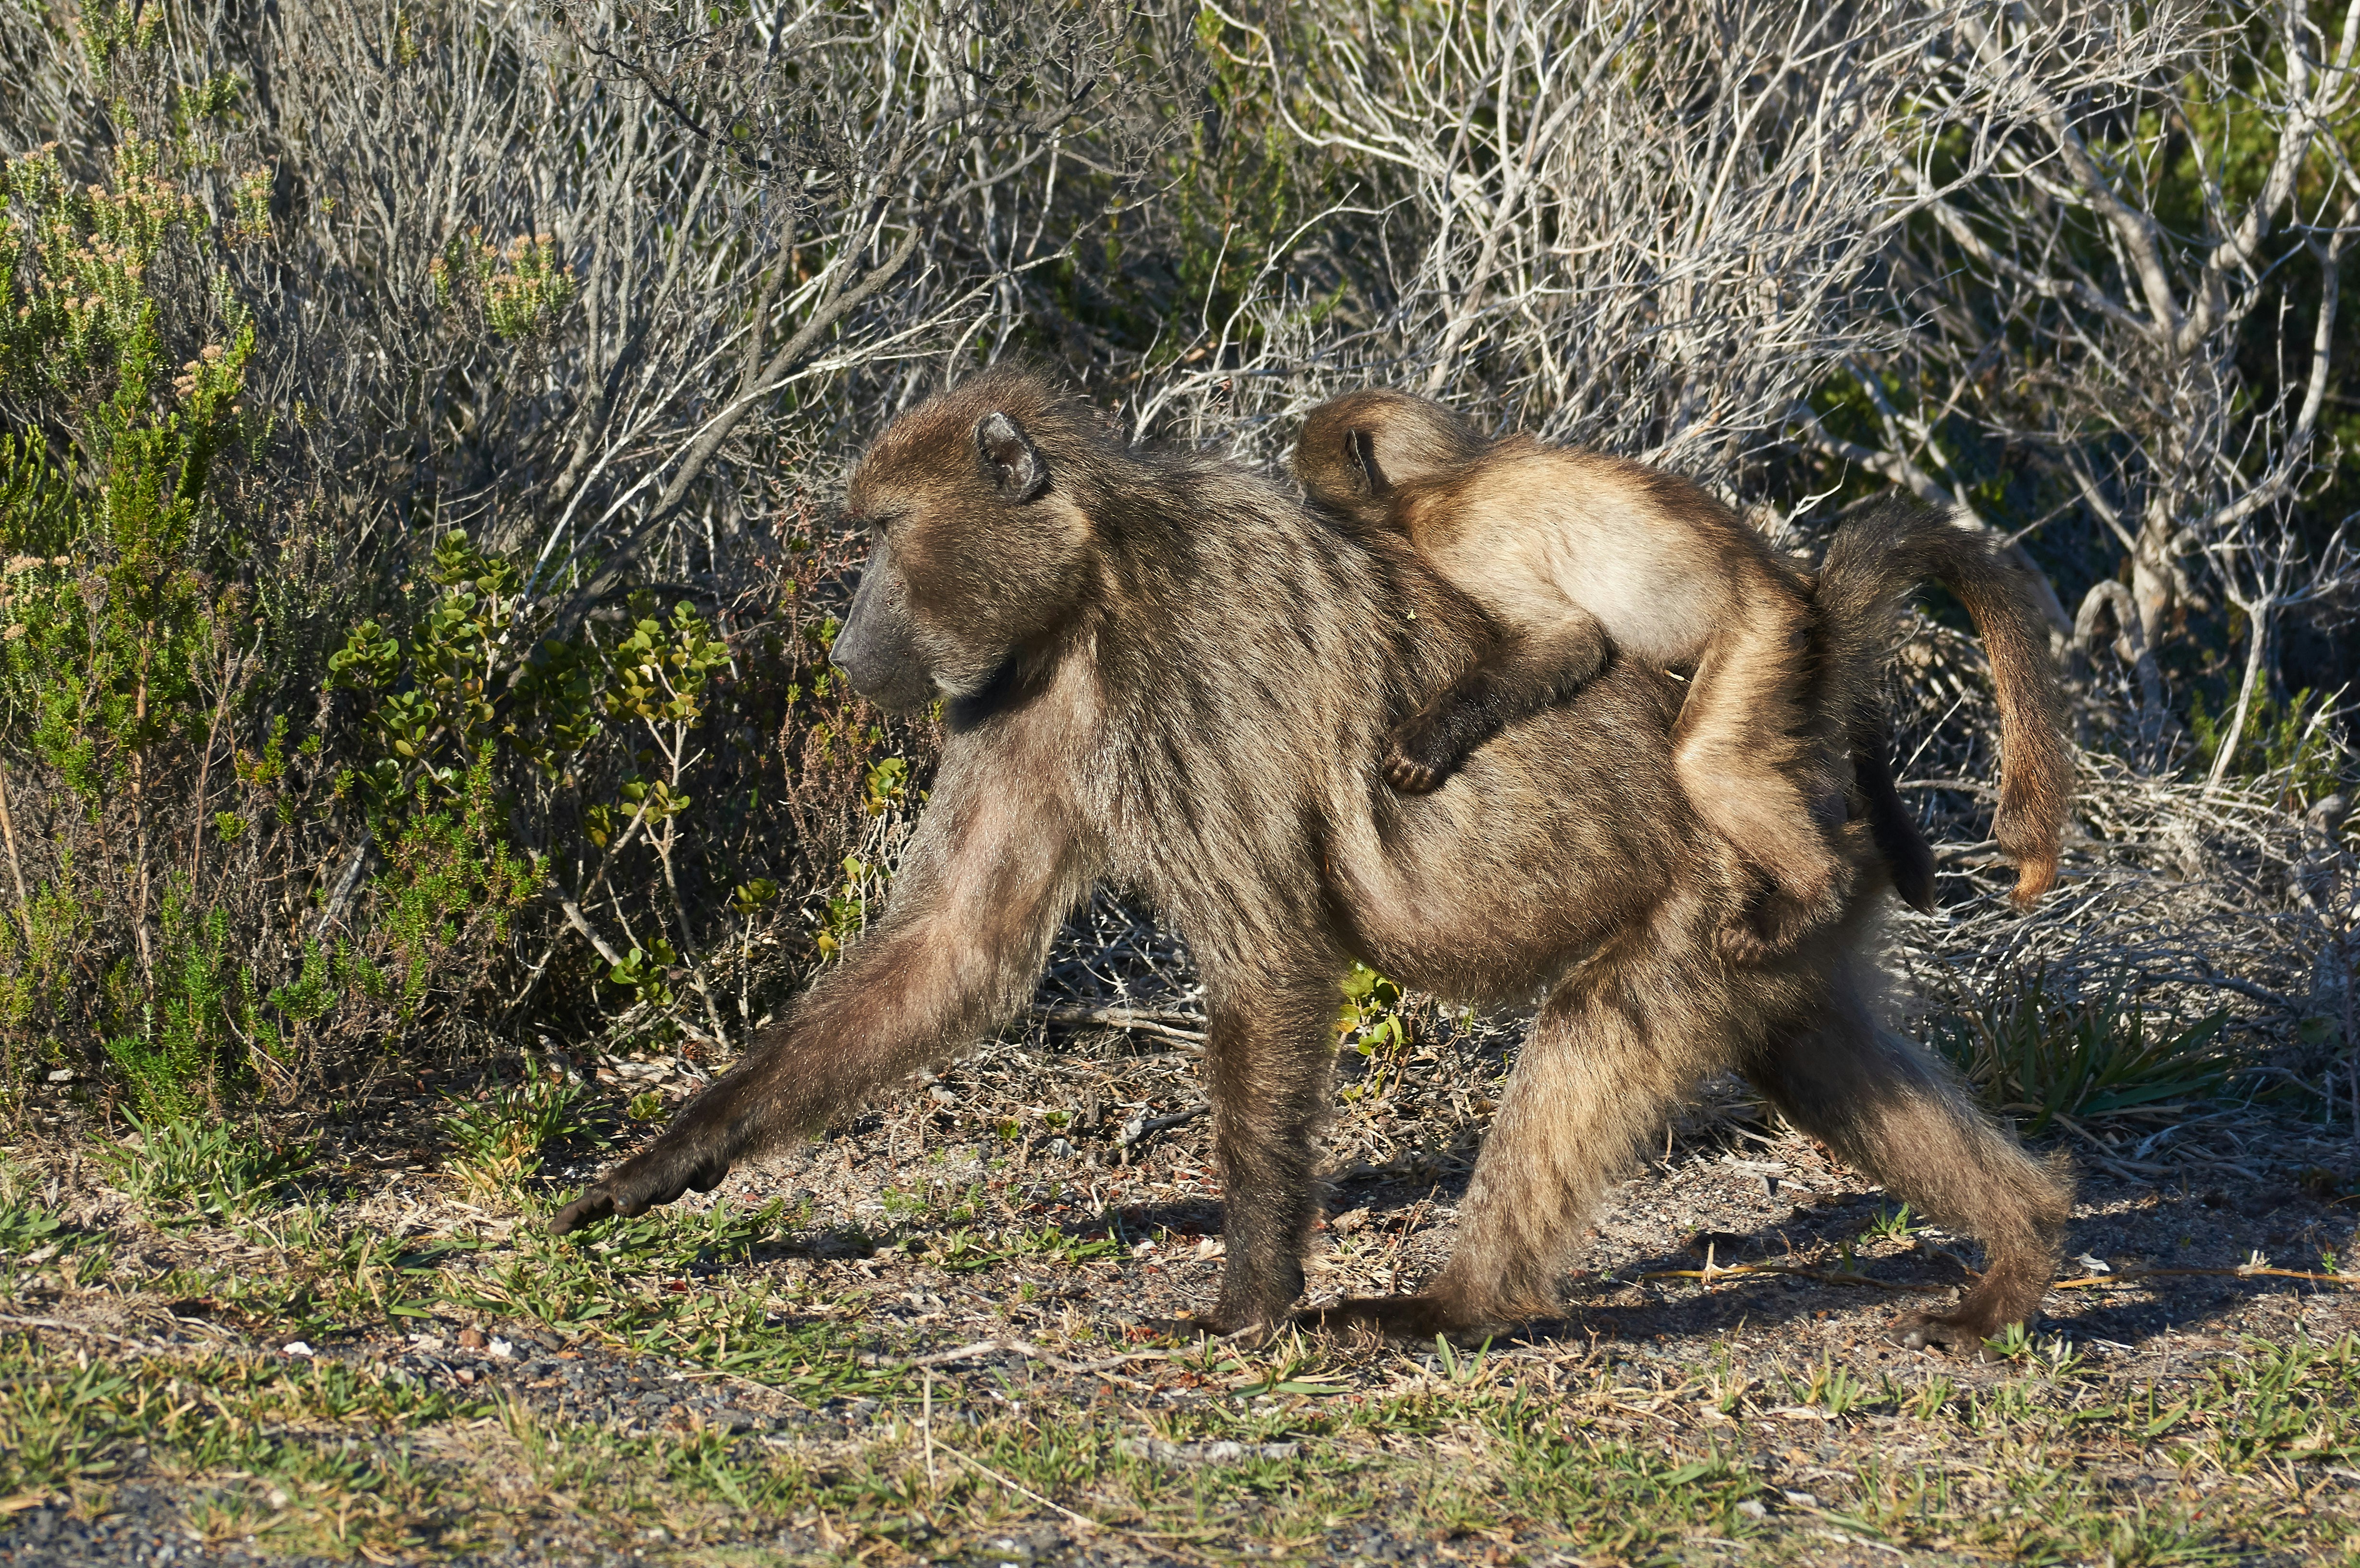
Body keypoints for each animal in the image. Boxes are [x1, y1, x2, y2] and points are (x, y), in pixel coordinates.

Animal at [1292, 390, 2062, 954]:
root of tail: (1790, 587)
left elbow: (1570, 641)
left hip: (1758, 638)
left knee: (1707, 761)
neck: (1452, 469)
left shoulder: (1459, 536)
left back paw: (1813, 893)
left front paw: (1422, 747)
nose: (1305, 508)